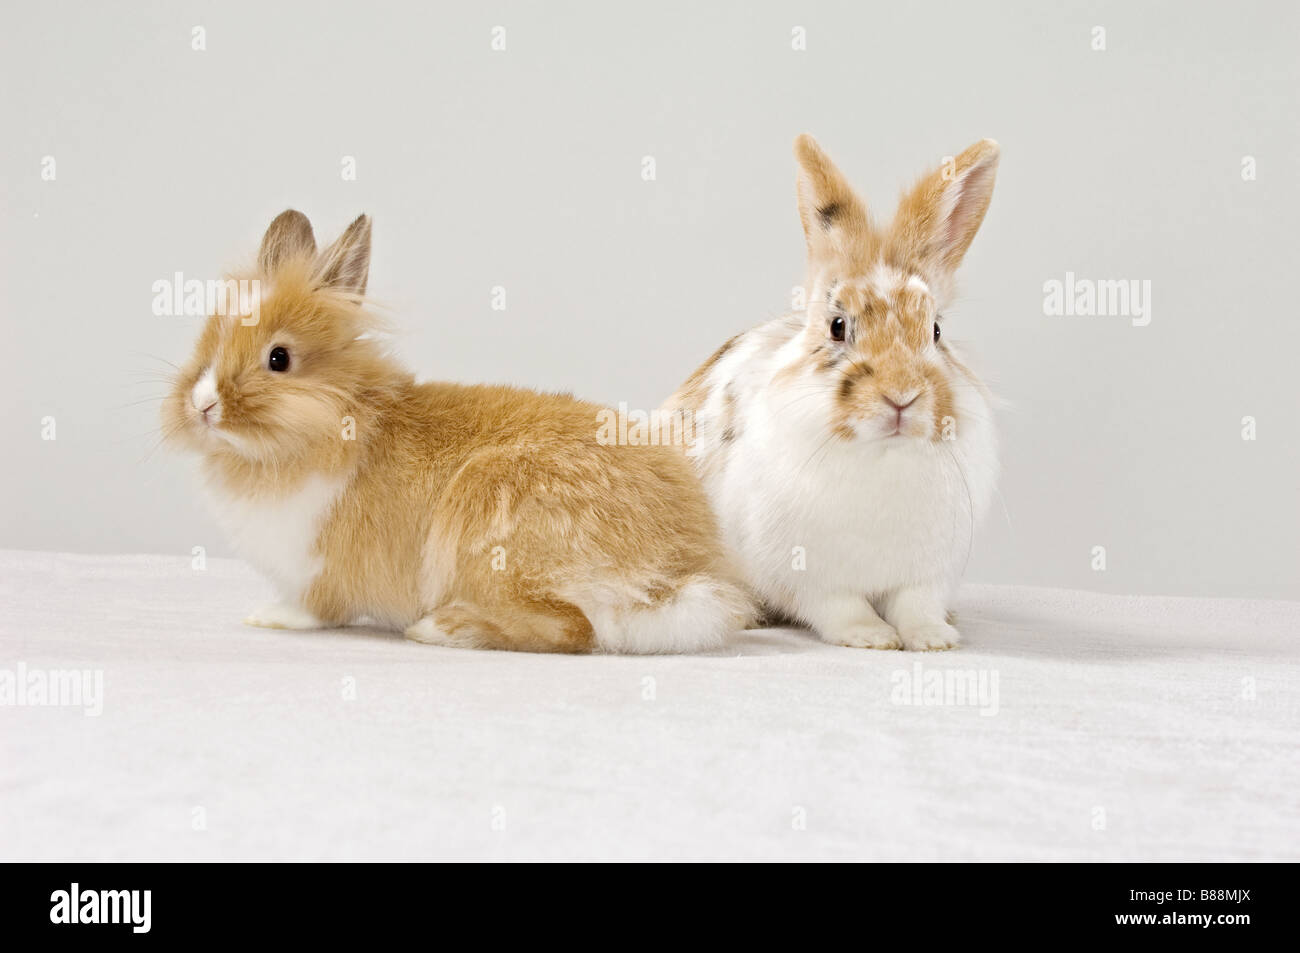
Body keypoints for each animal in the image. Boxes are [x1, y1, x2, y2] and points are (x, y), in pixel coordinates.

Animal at [163, 210, 751, 653]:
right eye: (208, 341)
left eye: (279, 358)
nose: (202, 405)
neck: (343, 420)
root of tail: (674, 578)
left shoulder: (321, 571)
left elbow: (315, 607)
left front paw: (269, 617)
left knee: (573, 629)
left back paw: (442, 628)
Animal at [662, 136, 1001, 651]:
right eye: (838, 326)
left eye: (936, 331)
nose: (901, 397)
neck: (882, 455)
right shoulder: (813, 580)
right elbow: (841, 607)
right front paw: (872, 638)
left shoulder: (926, 576)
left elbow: (915, 606)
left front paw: (932, 638)